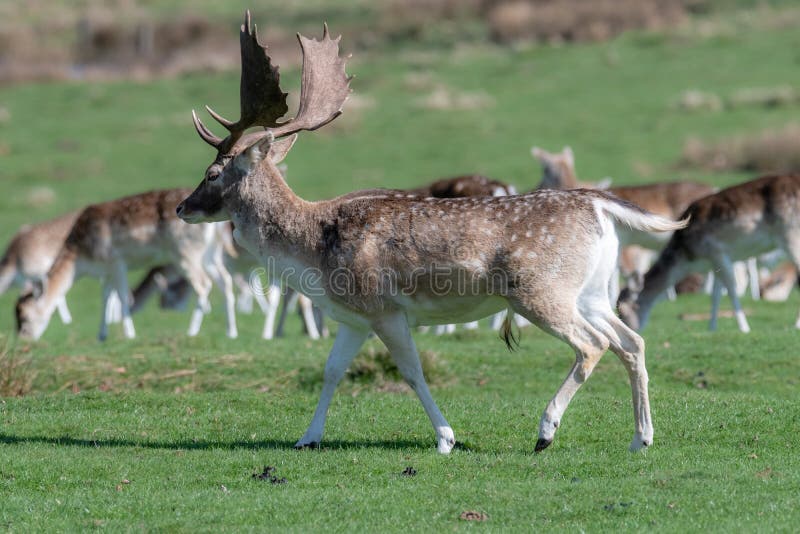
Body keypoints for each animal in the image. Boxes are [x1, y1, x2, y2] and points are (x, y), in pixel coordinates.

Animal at [16, 189, 238, 342]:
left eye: (25, 317)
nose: (24, 340)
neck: (81, 258)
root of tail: (219, 225)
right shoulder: (105, 270)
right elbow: (106, 296)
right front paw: (101, 335)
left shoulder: (116, 261)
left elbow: (122, 296)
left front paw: (129, 334)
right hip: (211, 255)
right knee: (225, 281)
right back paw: (231, 332)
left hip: (186, 253)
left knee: (204, 284)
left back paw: (191, 331)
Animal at [175, 13, 687, 453]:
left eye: (213, 172)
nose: (182, 207)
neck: (313, 252)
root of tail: (600, 205)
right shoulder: (353, 317)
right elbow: (332, 370)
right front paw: (307, 438)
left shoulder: (383, 307)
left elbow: (411, 370)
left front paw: (446, 438)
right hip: (593, 290)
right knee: (632, 342)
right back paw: (641, 438)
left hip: (540, 289)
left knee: (592, 345)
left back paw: (546, 431)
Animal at [618, 173, 800, 334]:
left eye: (623, 310)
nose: (630, 330)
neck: (688, 258)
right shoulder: (714, 261)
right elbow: (715, 294)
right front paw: (712, 327)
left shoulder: (717, 251)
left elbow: (731, 288)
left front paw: (744, 328)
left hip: (790, 234)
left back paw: (796, 324)